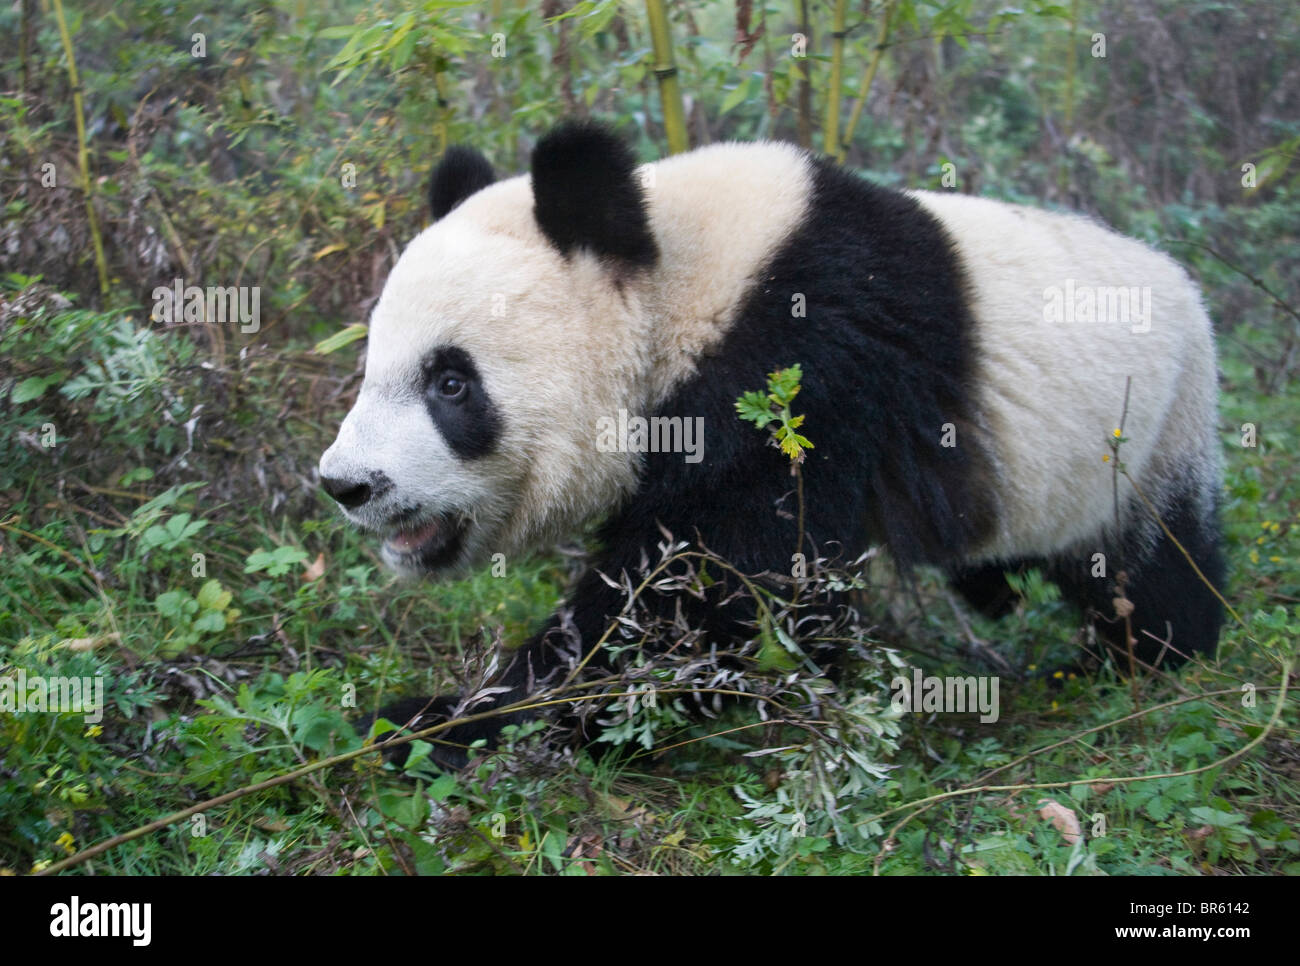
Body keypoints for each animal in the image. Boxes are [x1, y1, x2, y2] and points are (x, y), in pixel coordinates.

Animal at [319, 122, 1225, 764]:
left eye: (450, 384)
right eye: (373, 364)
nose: (347, 484)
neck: (686, 283)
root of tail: (1187, 289)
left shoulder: (799, 373)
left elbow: (708, 599)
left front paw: (438, 723)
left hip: (1148, 434)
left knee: (1150, 572)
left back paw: (1136, 662)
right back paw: (992, 592)